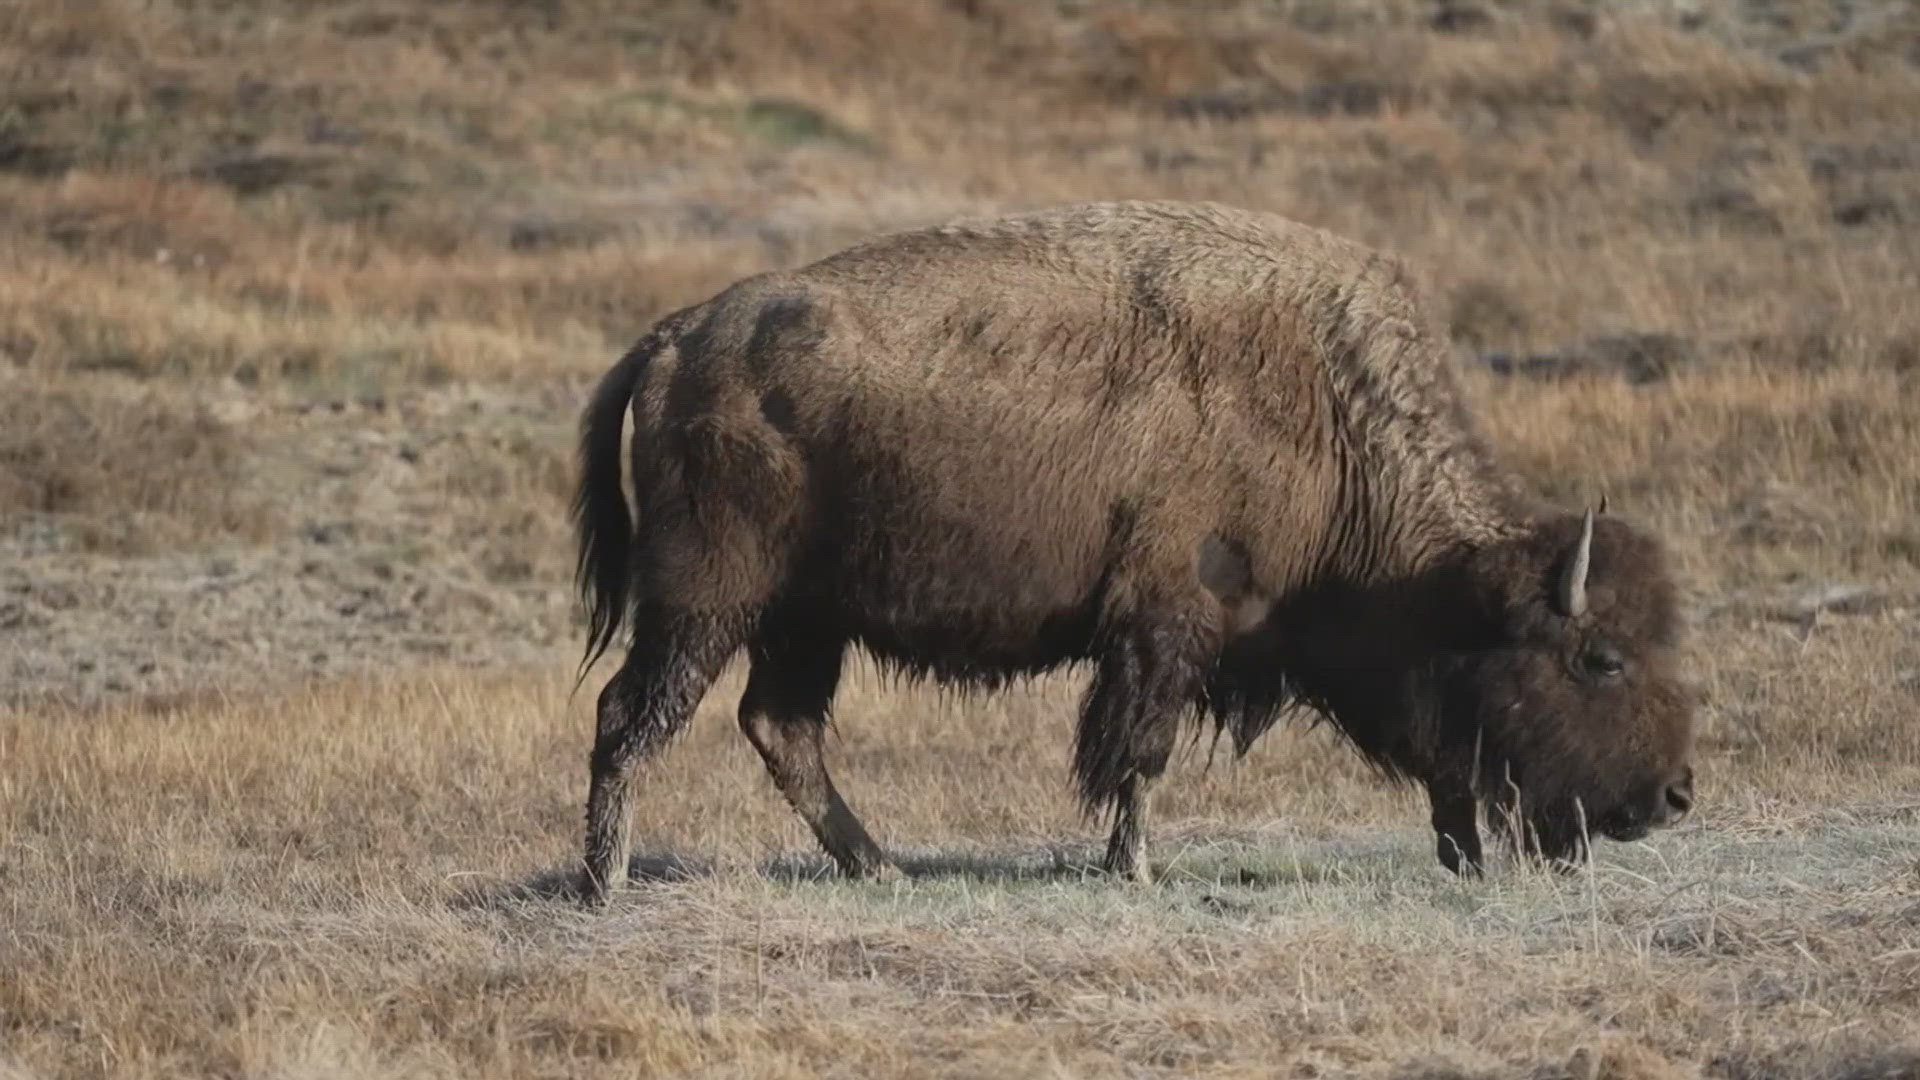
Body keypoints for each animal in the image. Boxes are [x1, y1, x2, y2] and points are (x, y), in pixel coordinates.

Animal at [571, 200, 1695, 903]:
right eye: (1599, 659)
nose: (1673, 795)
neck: (1329, 414)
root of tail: (677, 337)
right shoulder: (1165, 625)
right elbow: (1139, 752)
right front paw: (1136, 867)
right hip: (708, 603)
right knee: (632, 715)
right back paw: (604, 882)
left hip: (805, 620)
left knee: (780, 727)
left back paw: (877, 866)